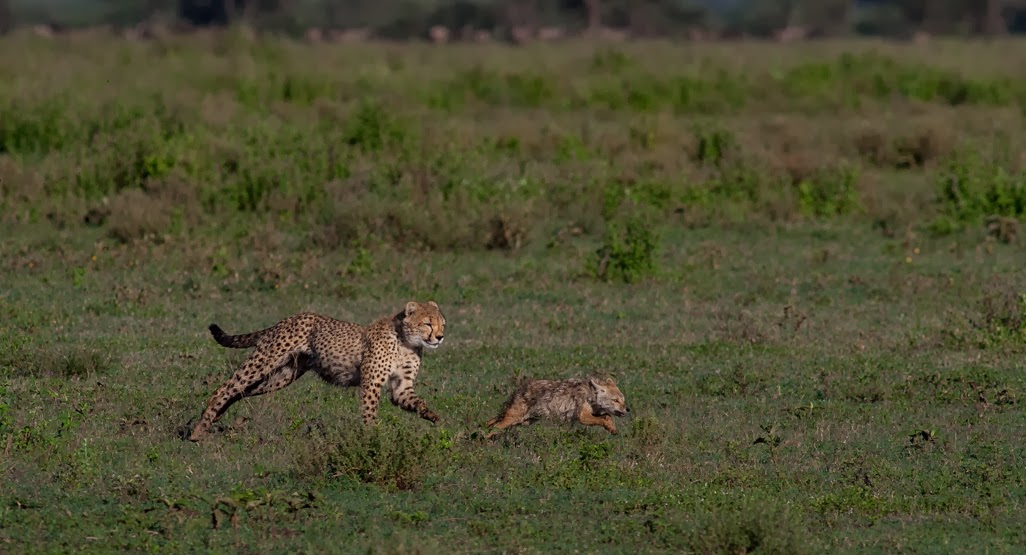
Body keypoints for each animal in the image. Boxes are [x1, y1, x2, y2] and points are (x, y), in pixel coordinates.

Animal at [188, 300, 446, 442]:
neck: (406, 341)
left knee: (242, 391)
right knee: (226, 387)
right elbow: (370, 413)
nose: (441, 337)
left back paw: (215, 418)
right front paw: (373, 437)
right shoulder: (371, 383)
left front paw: (433, 416)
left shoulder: (401, 387)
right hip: (264, 360)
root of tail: (287, 318)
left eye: (442, 323)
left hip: (284, 375)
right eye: (428, 323)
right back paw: (199, 430)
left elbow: (416, 401)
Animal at [483, 375, 629, 439]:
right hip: (513, 419)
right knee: (494, 427)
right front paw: (610, 427)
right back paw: (484, 439)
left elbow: (607, 416)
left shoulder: (593, 413)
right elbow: (604, 418)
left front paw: (612, 429)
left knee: (490, 423)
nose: (628, 409)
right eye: (615, 400)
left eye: (623, 400)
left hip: (523, 421)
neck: (590, 394)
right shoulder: (582, 416)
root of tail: (519, 389)